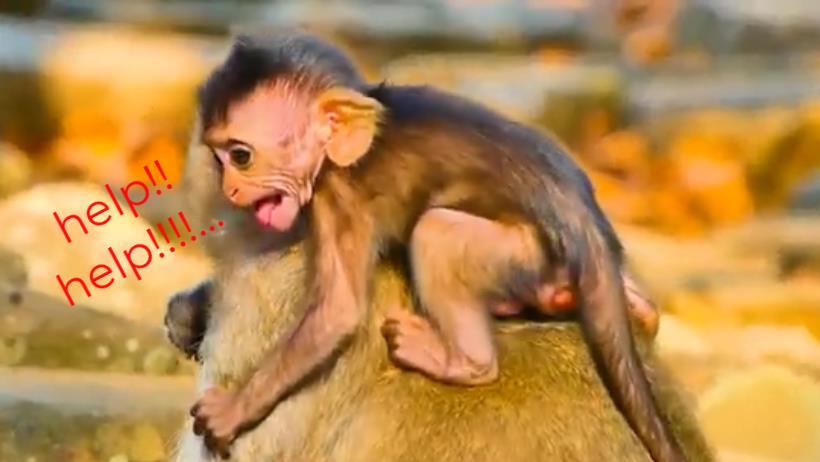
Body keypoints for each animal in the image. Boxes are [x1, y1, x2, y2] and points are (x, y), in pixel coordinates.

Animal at [186, 32, 683, 462]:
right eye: (220, 159)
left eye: (241, 156)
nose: (230, 189)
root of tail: (582, 218)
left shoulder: (337, 196)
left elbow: (338, 310)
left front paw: (232, 410)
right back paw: (631, 308)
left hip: (524, 250)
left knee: (437, 232)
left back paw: (467, 364)